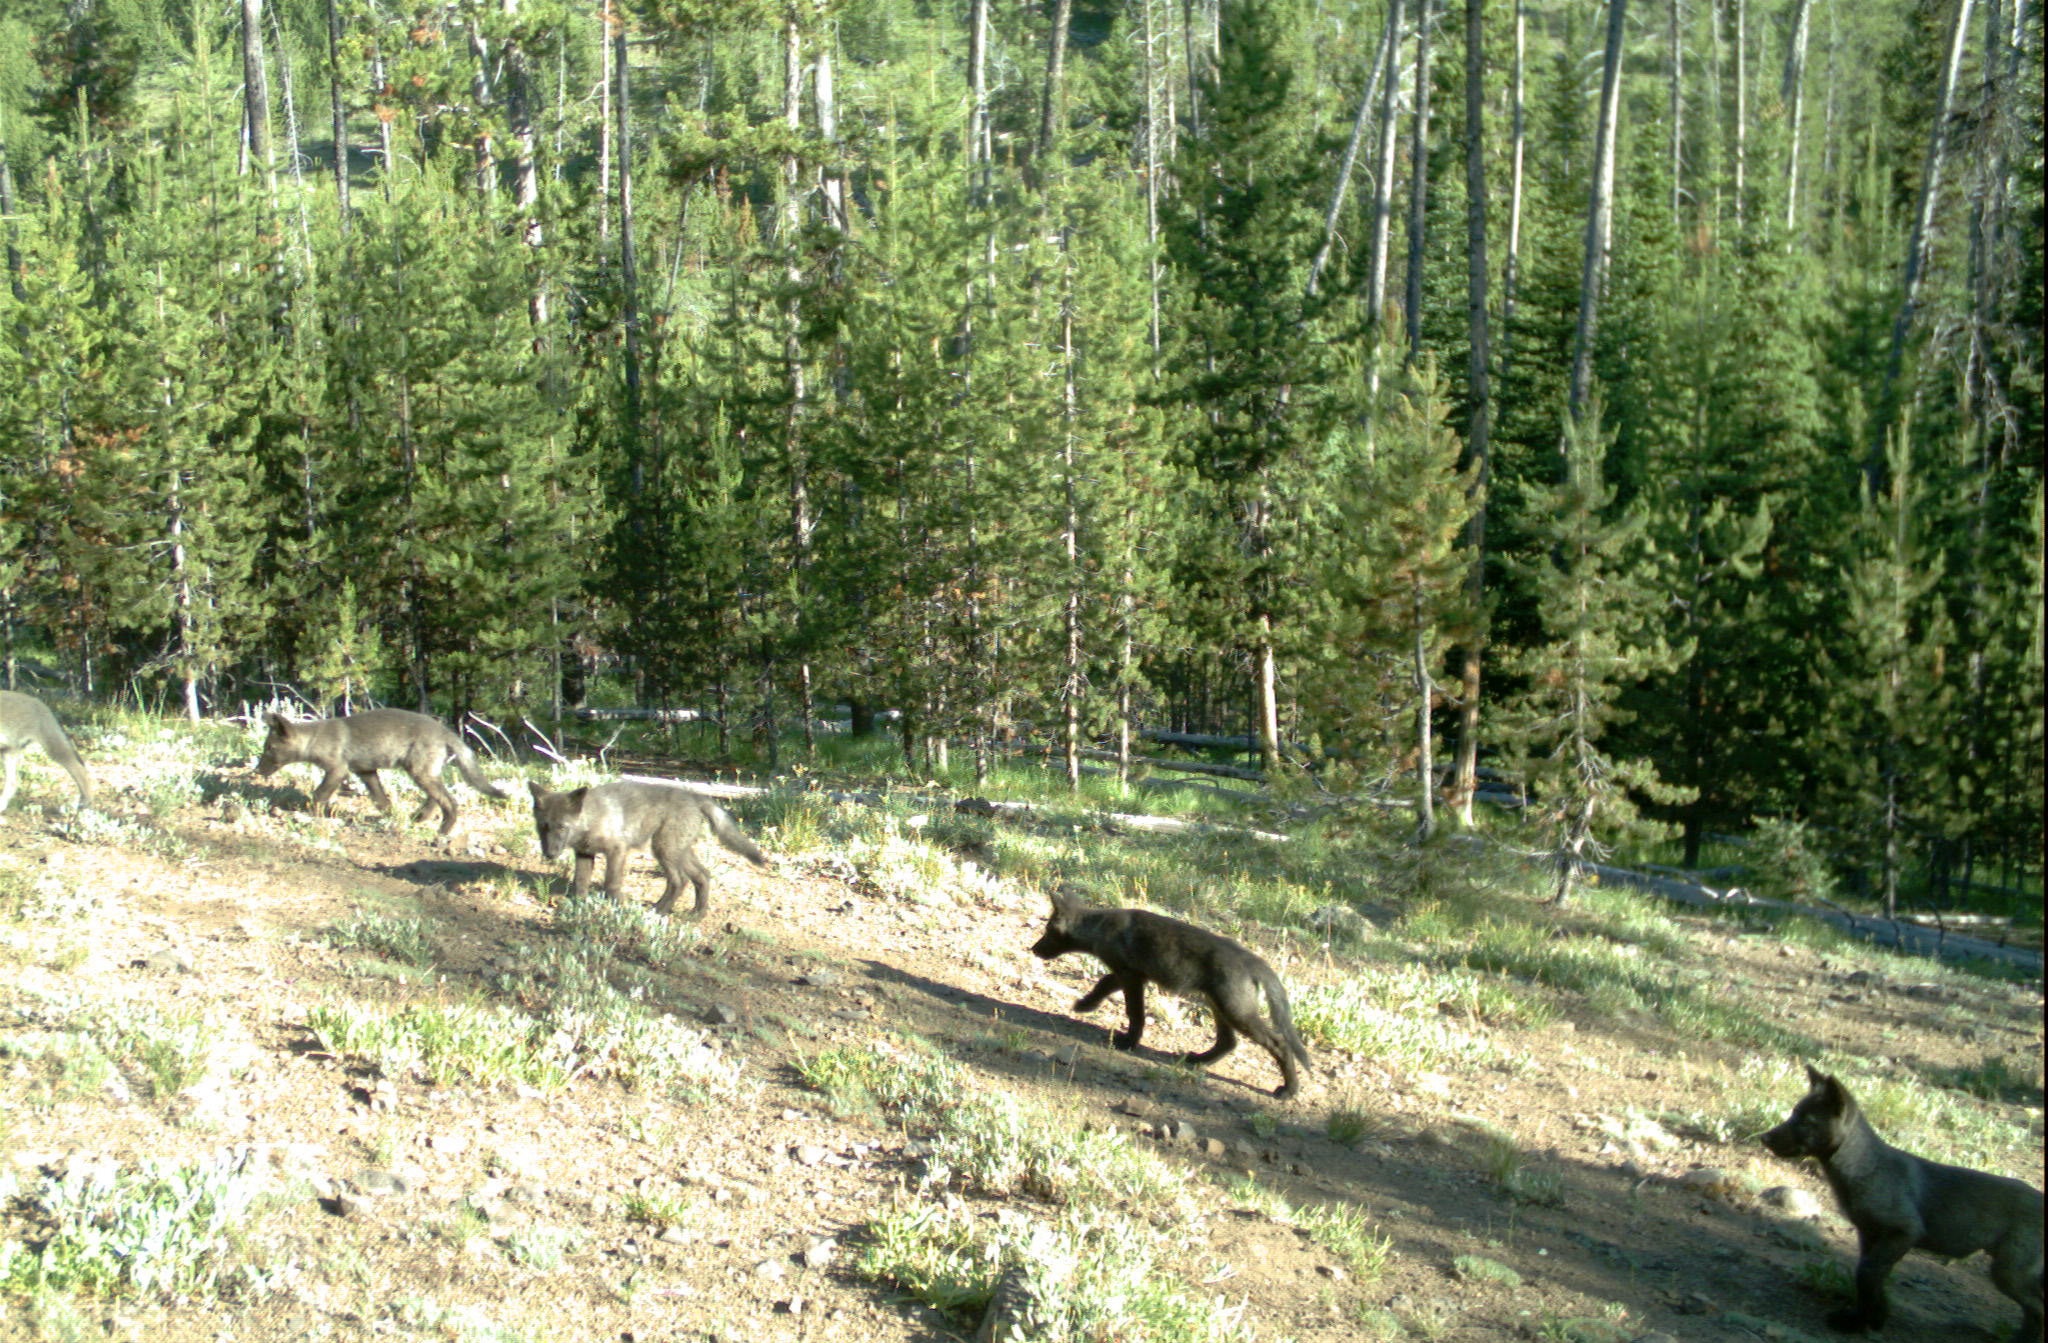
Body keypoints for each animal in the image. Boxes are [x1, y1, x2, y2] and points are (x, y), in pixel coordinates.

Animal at [256, 708, 508, 835]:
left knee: (450, 801)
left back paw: (444, 830)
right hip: (427, 772)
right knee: (437, 799)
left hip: (419, 771)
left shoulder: (338, 769)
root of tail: (446, 732)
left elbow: (319, 795)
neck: (314, 739)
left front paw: (313, 815)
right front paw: (390, 815)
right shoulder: (365, 770)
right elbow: (380, 799)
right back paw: (420, 817)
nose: (257, 770)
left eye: (269, 748)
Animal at [526, 779, 771, 917]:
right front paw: (579, 905)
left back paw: (659, 911)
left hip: (664, 851)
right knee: (703, 876)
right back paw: (696, 913)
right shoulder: (585, 853)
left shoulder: (617, 850)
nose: (549, 854)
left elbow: (611, 884)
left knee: (679, 881)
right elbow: (580, 883)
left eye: (562, 827)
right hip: (677, 852)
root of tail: (695, 797)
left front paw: (620, 907)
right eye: (543, 827)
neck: (591, 819)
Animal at [1030, 890, 1312, 1099]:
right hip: (1218, 1005)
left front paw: (1128, 1042)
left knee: (1279, 1042)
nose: (1033, 949)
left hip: (1235, 1010)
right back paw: (1198, 1060)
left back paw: (1289, 1090)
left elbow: (1135, 1013)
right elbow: (1103, 985)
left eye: (1047, 932)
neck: (1100, 925)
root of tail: (1253, 961)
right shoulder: (1127, 973)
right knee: (1228, 1042)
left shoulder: (1131, 976)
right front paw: (1085, 1004)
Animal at [1763, 1065, 2043, 1341]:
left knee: (2037, 1310)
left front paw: (1859, 1321)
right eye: (1793, 1114)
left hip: (2008, 1273)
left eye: (1806, 1122)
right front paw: (1874, 1316)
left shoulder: (1904, 1232)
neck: (1865, 1167)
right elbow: (1871, 1279)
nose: (1764, 1138)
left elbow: (1865, 1275)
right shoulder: (1871, 1237)